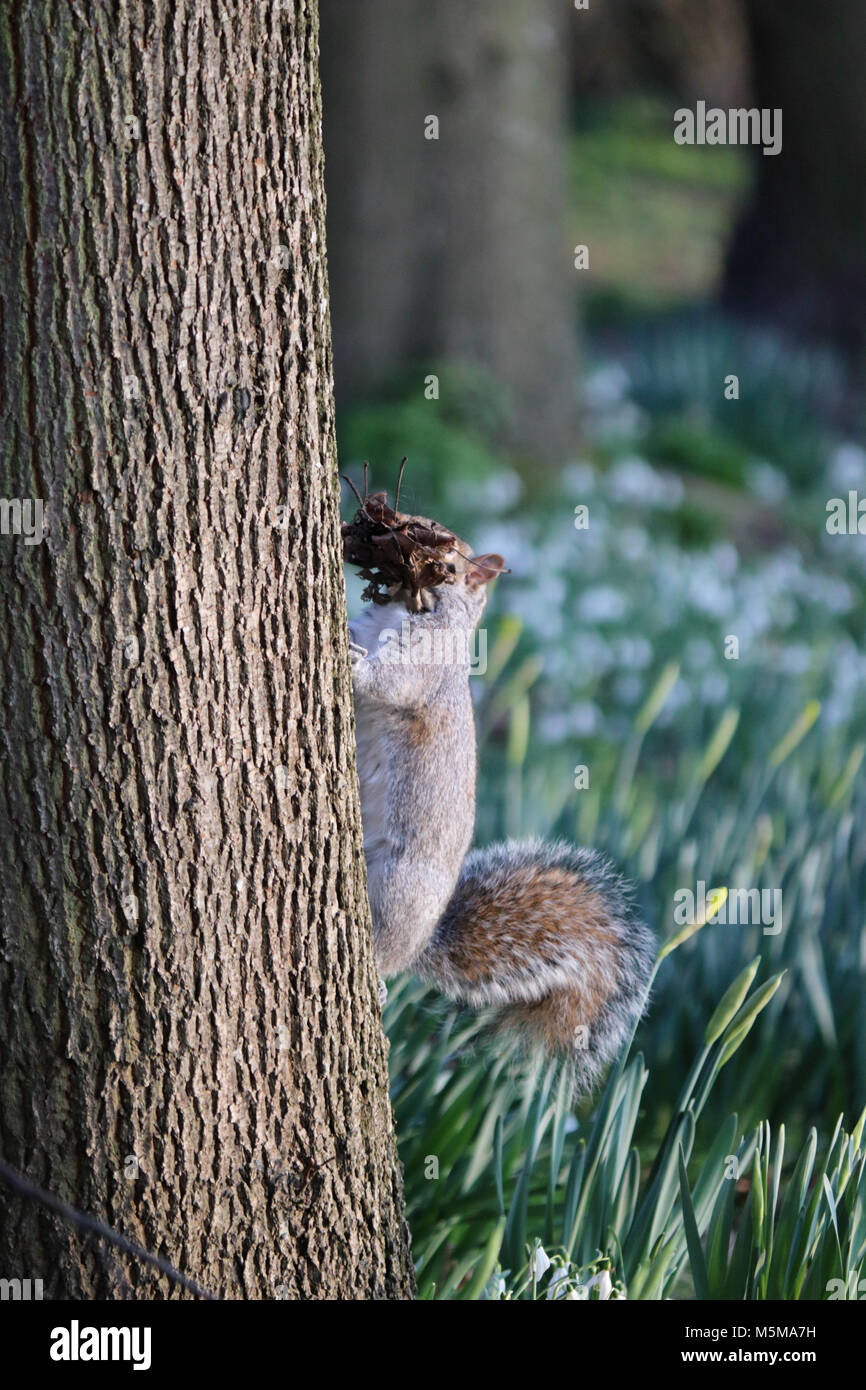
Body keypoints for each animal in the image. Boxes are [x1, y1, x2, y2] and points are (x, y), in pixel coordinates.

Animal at [348, 525, 654, 1094]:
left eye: (447, 555)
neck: (398, 611)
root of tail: (423, 939)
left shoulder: (426, 661)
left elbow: (392, 681)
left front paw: (345, 650)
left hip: (398, 889)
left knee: (384, 954)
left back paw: (377, 977)